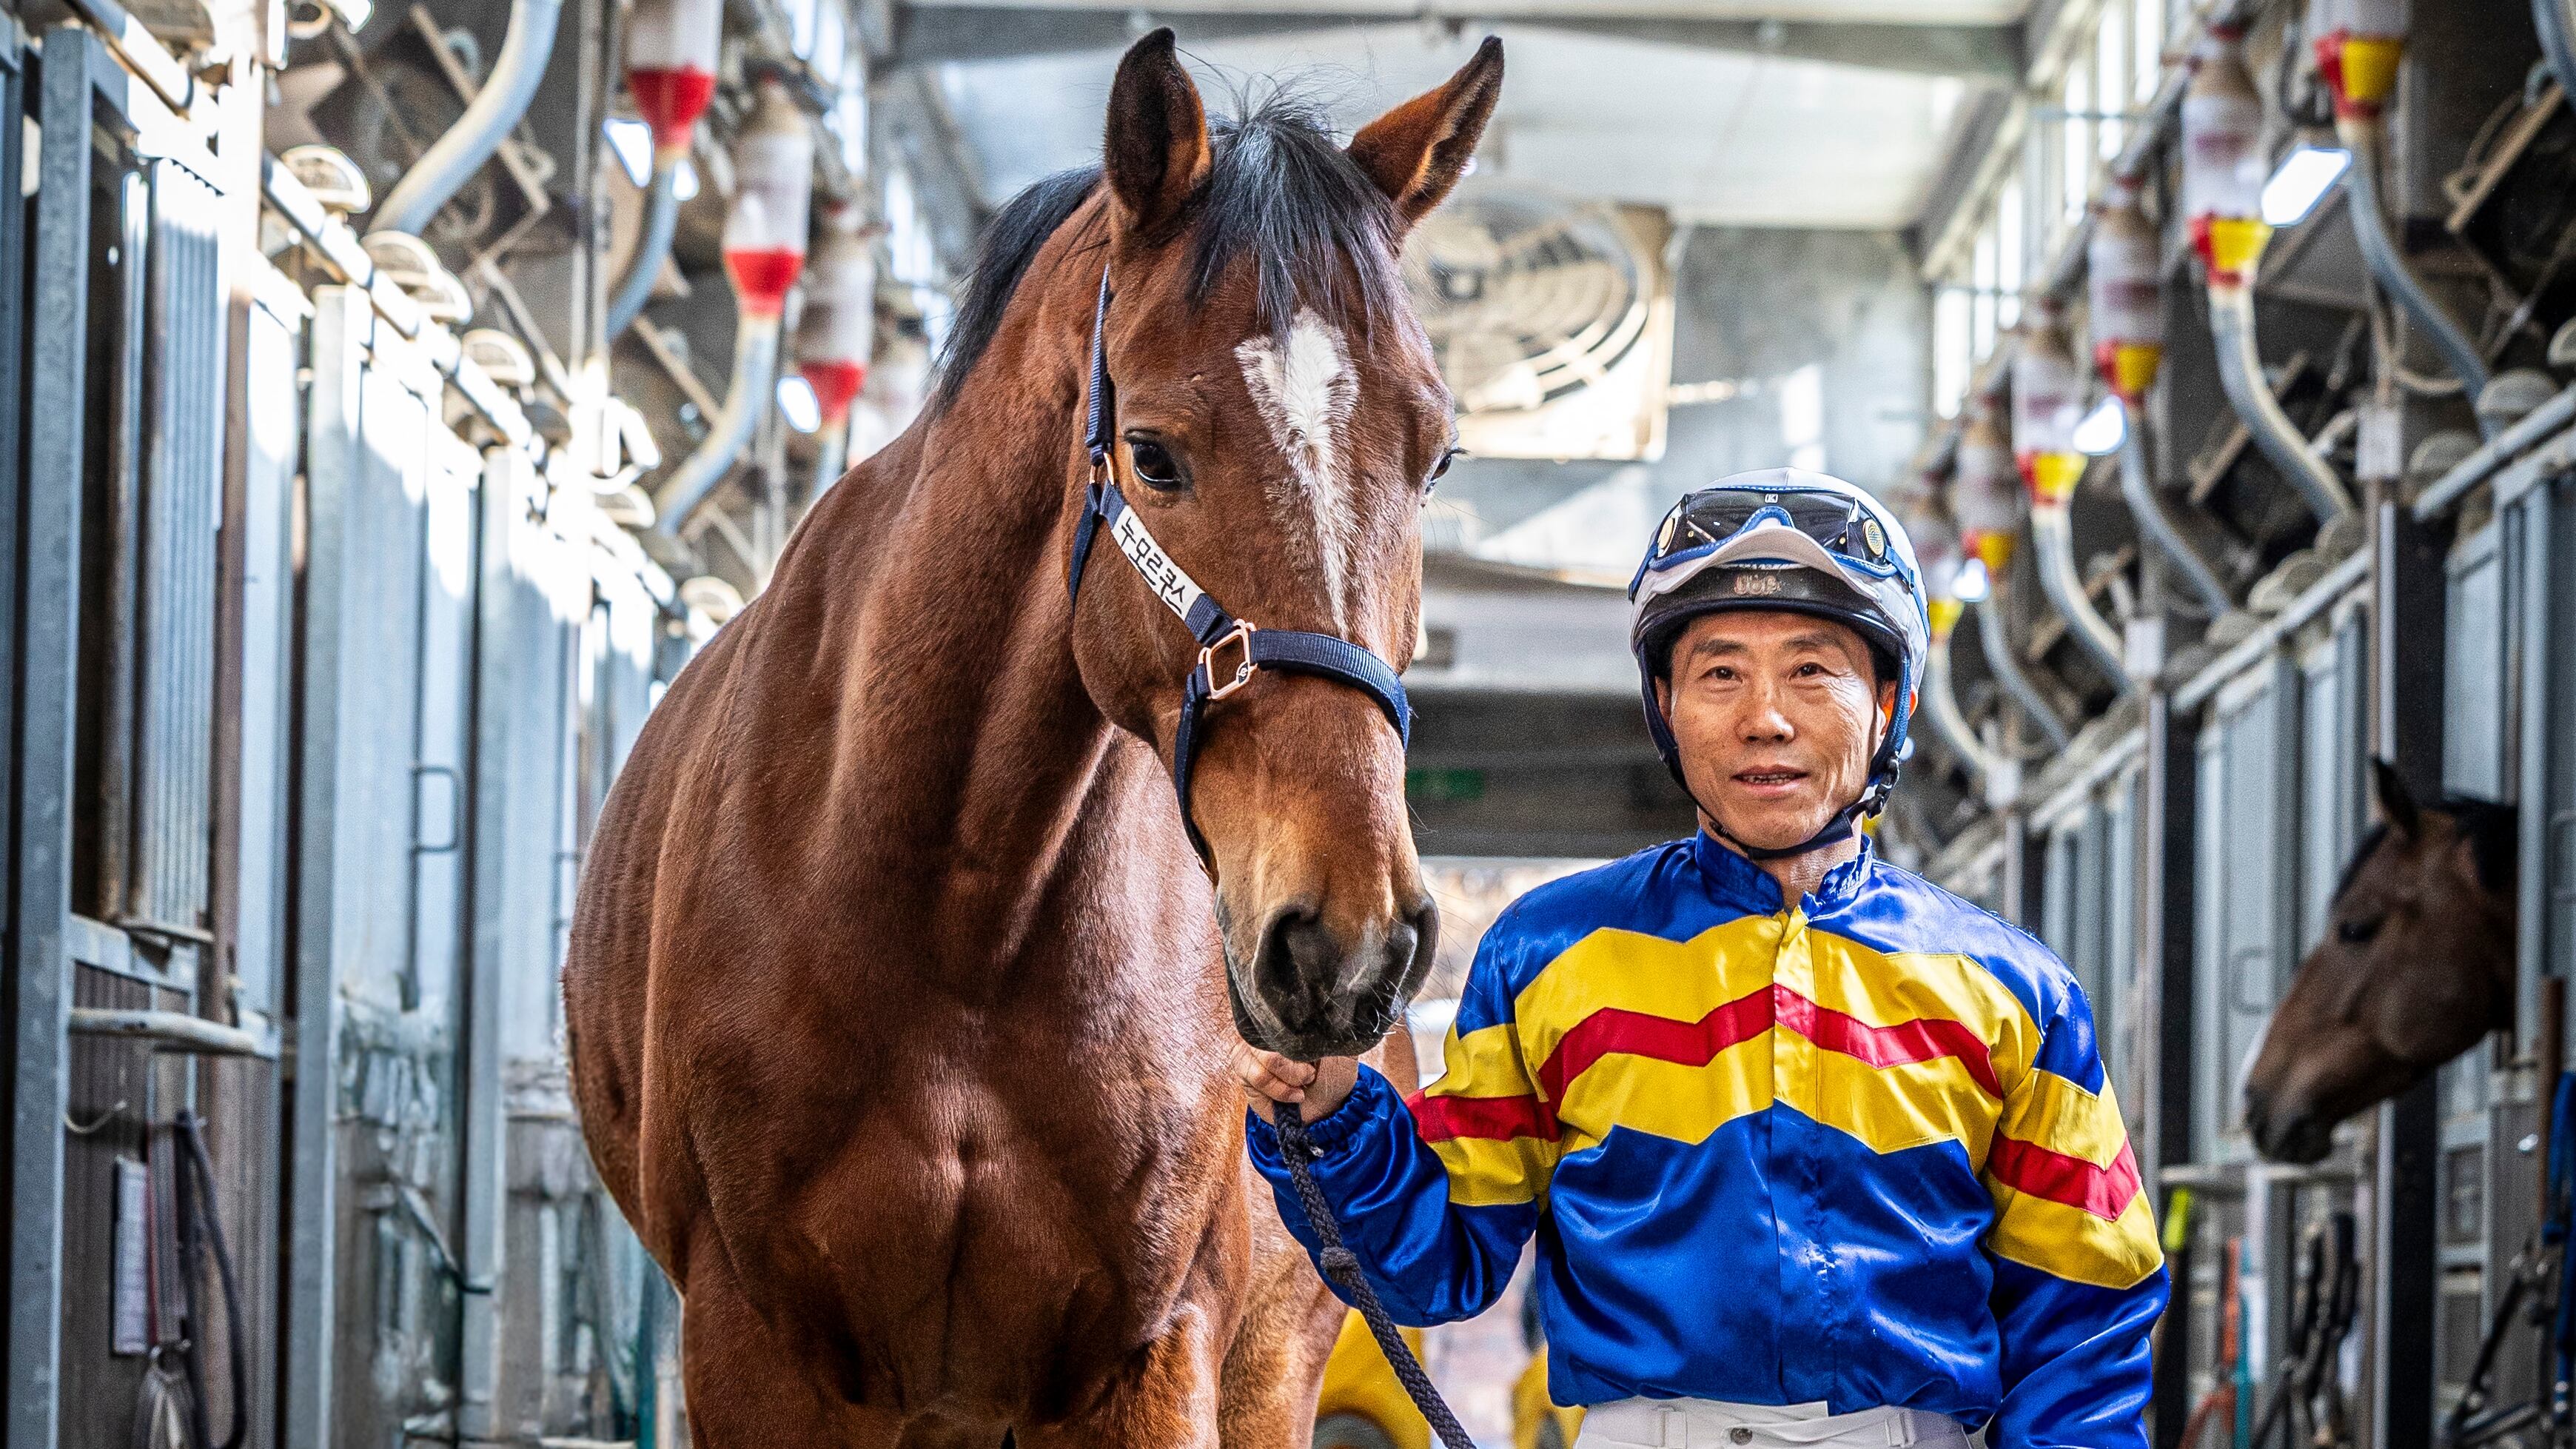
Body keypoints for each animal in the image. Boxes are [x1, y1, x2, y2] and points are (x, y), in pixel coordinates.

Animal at [560, 30, 1503, 1448]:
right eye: (1154, 454)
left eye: (1437, 458)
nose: (1349, 941)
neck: (965, 916)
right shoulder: (750, 1344)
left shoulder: (1154, 1355)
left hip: (1274, 1366)